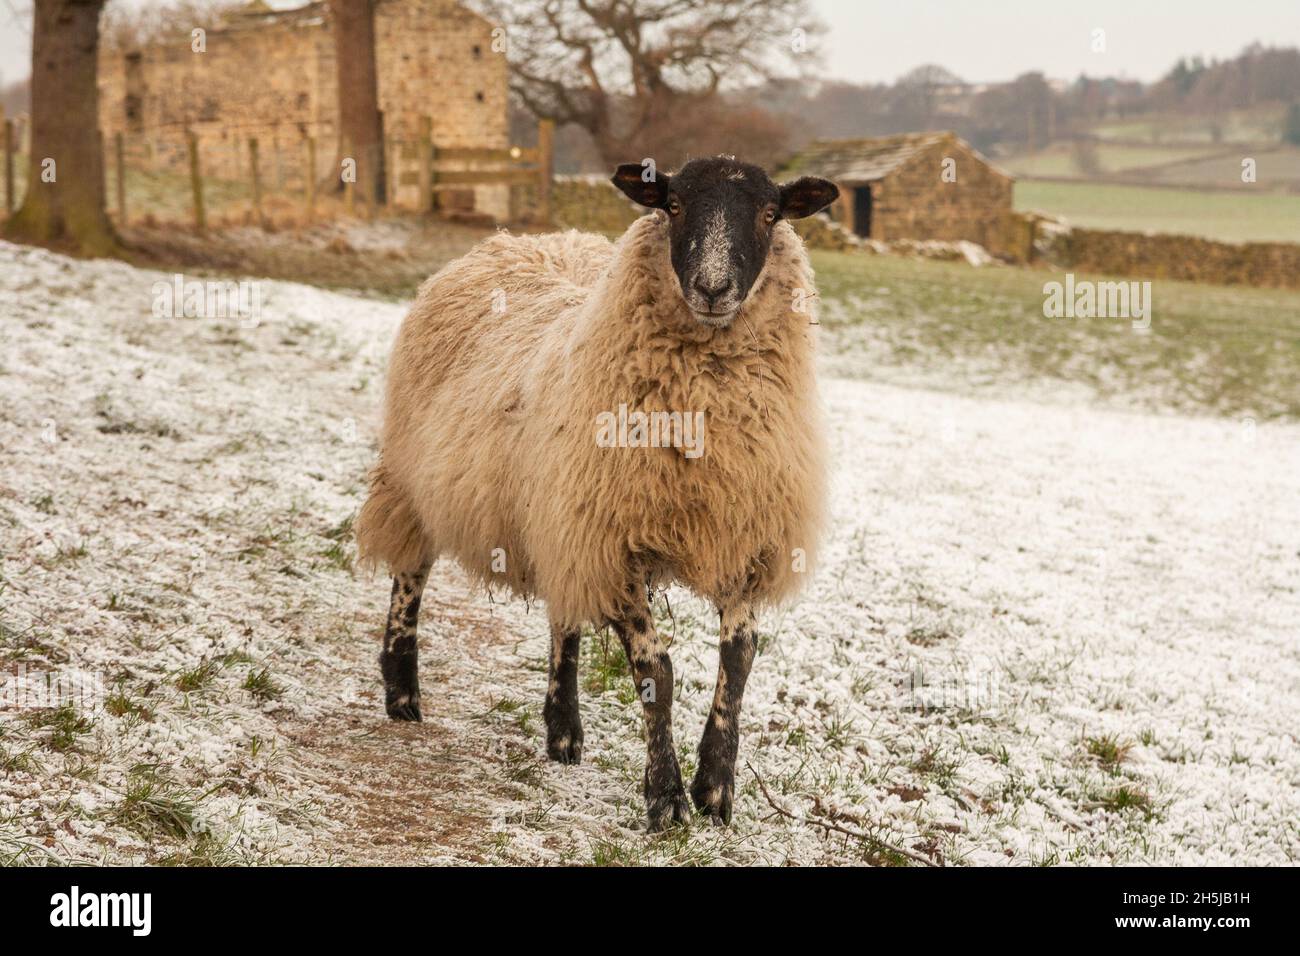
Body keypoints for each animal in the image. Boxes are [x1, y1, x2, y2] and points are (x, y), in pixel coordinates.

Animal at [356, 156, 839, 830]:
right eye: (674, 205)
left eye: (770, 214)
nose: (713, 288)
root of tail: (518, 240)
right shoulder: (615, 544)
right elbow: (656, 670)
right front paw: (665, 798)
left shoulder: (741, 535)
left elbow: (740, 658)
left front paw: (715, 787)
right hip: (412, 477)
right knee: (410, 576)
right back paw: (402, 691)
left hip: (559, 511)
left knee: (563, 618)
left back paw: (564, 731)